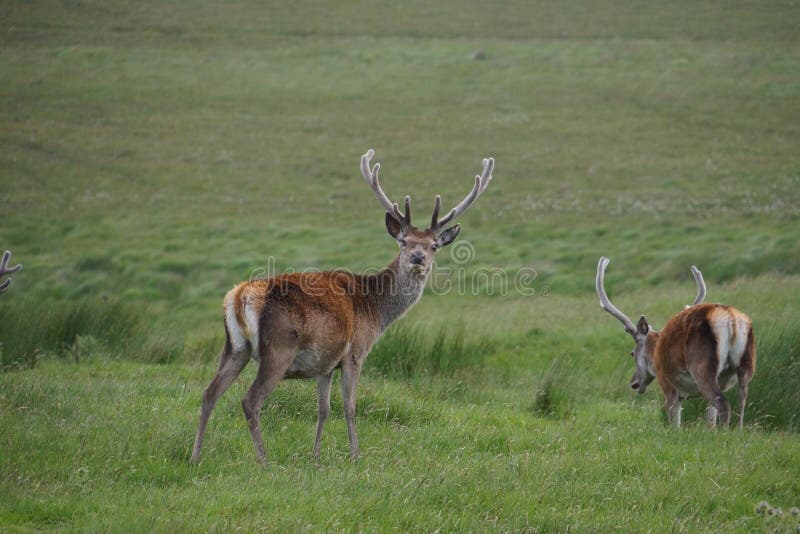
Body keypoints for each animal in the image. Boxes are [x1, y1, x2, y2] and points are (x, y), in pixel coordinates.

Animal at [190, 149, 495, 464]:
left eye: (434, 245)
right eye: (404, 241)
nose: (418, 258)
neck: (375, 309)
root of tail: (240, 296)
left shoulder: (325, 363)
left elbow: (323, 409)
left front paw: (315, 455)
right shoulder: (355, 353)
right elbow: (349, 406)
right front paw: (355, 454)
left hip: (234, 347)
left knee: (209, 393)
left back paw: (195, 456)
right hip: (278, 348)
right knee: (250, 401)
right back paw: (264, 461)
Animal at [595, 256, 756, 428]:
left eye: (632, 353)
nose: (634, 383)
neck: (655, 355)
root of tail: (730, 318)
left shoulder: (668, 384)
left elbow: (674, 422)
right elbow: (710, 418)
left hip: (703, 369)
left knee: (724, 404)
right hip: (747, 365)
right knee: (742, 401)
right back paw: (738, 430)